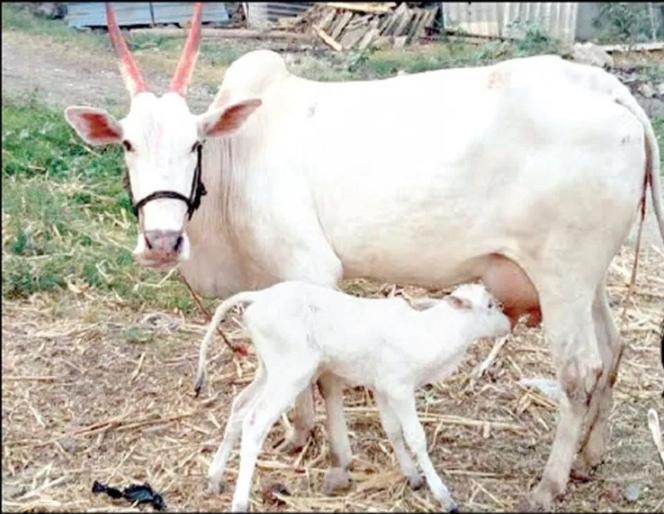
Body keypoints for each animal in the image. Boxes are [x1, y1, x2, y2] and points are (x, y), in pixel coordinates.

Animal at [63, 3, 664, 510]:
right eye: (127, 145)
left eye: (194, 144)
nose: (162, 242)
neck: (239, 155)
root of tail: (609, 89)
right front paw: (297, 433)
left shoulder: (313, 269)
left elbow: (325, 375)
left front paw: (335, 458)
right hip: (587, 282)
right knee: (613, 349)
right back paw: (588, 459)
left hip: (562, 277)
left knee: (579, 373)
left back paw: (549, 483)